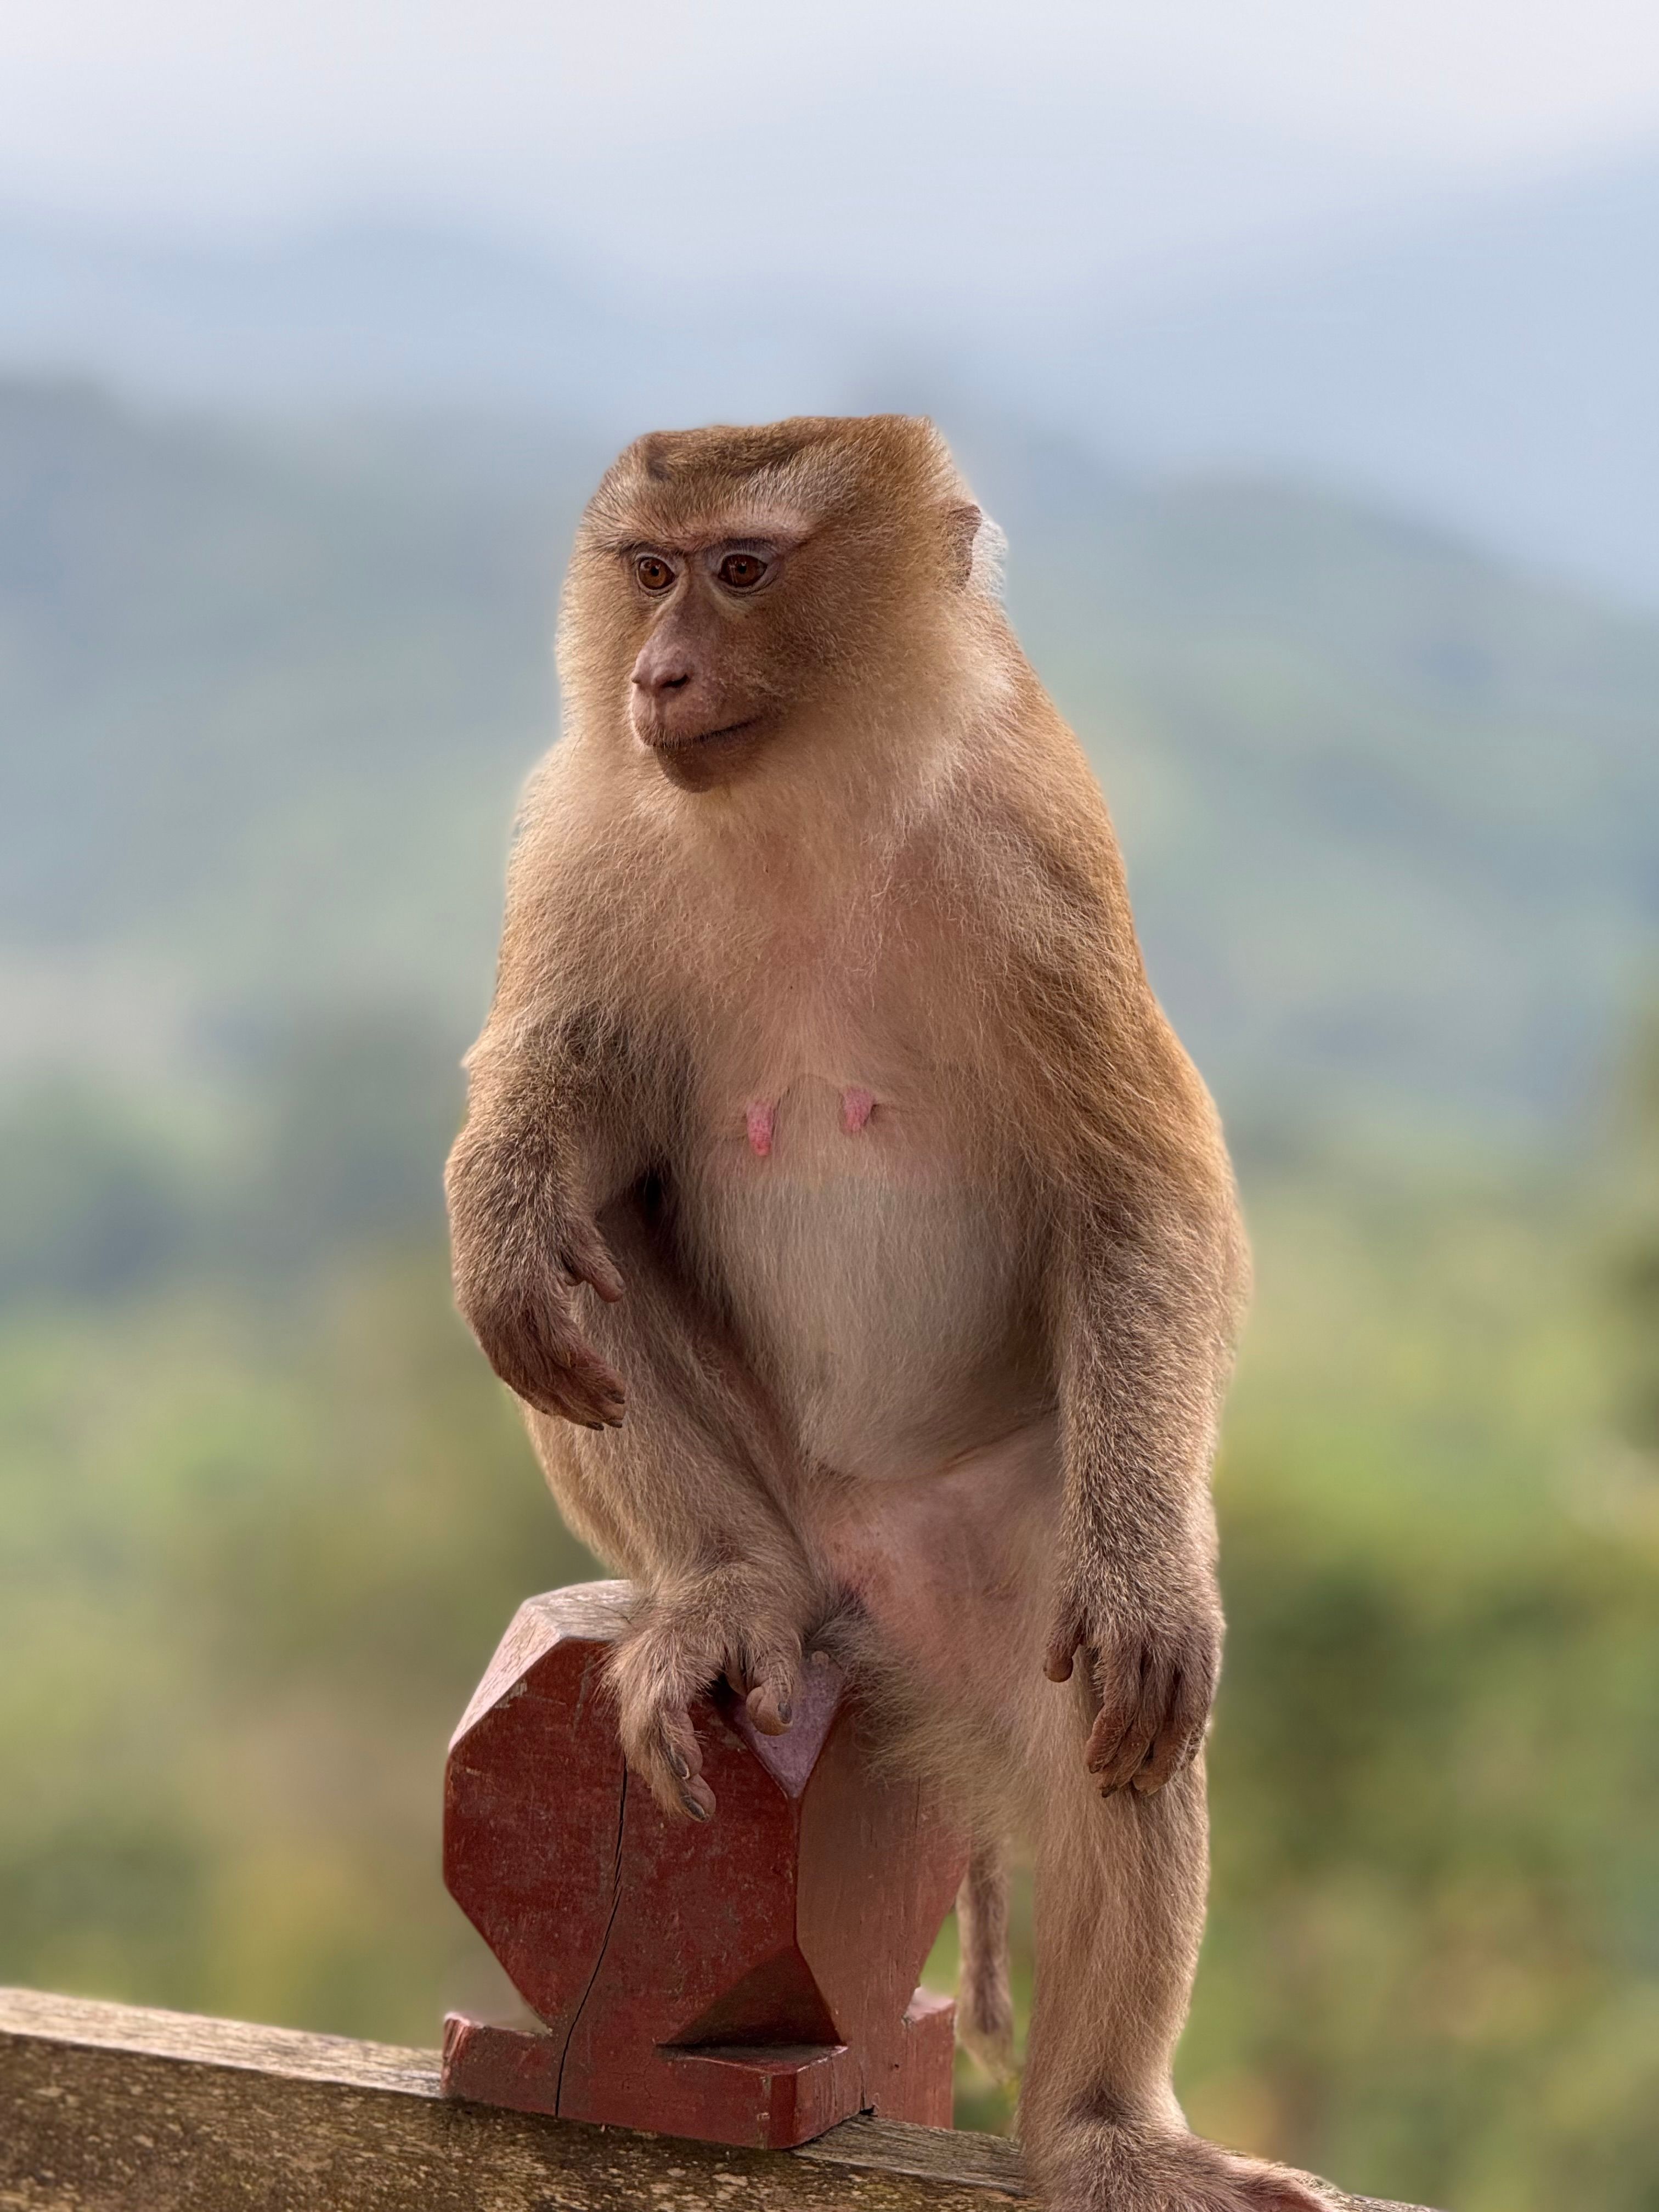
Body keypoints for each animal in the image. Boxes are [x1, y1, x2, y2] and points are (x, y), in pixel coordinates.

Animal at [446, 416, 1330, 2212]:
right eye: (650, 566)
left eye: (742, 569)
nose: (656, 672)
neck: (799, 809)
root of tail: (861, 1598)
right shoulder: (580, 836)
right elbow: (563, 1137)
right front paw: (505, 1202)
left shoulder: (1034, 853)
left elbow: (1139, 1196)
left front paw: (1154, 1587)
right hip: (786, 1512)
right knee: (584, 1273)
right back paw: (730, 1592)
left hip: (1012, 1554)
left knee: (1107, 1732)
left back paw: (1099, 2126)